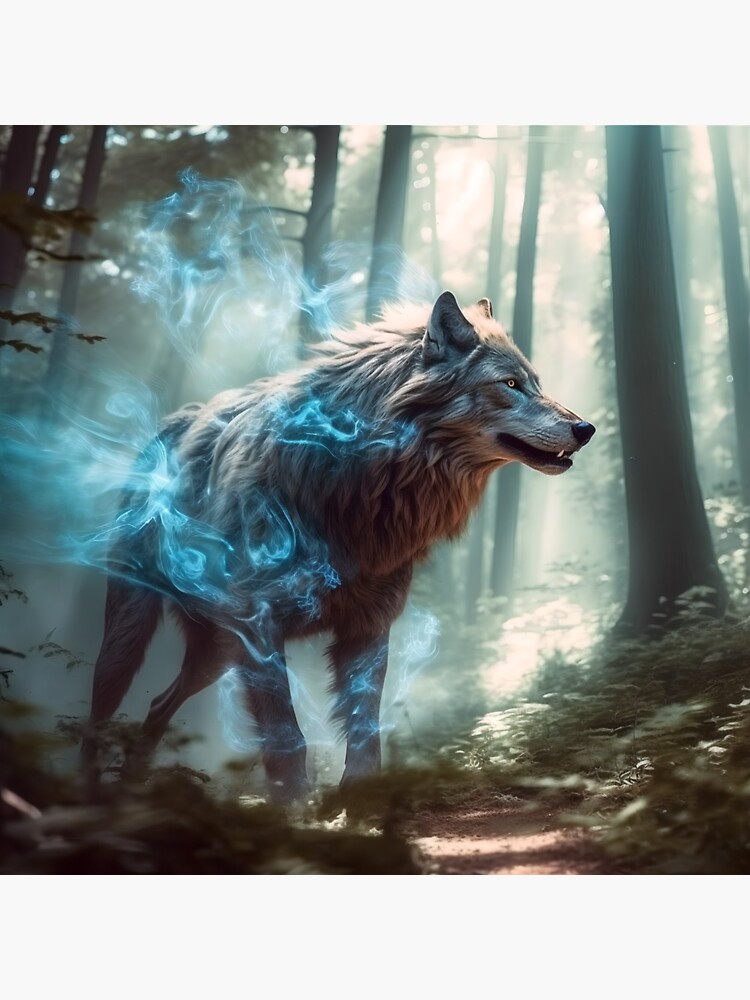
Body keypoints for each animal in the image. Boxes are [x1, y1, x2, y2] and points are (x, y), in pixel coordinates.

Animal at [81, 291, 594, 801]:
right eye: (510, 384)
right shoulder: (258, 625)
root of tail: (163, 429)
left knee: (157, 703)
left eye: (536, 383)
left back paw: (131, 787)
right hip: (133, 638)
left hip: (215, 653)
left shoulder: (369, 625)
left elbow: (367, 732)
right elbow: (287, 737)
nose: (586, 428)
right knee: (97, 714)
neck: (358, 486)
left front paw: (360, 803)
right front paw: (292, 807)